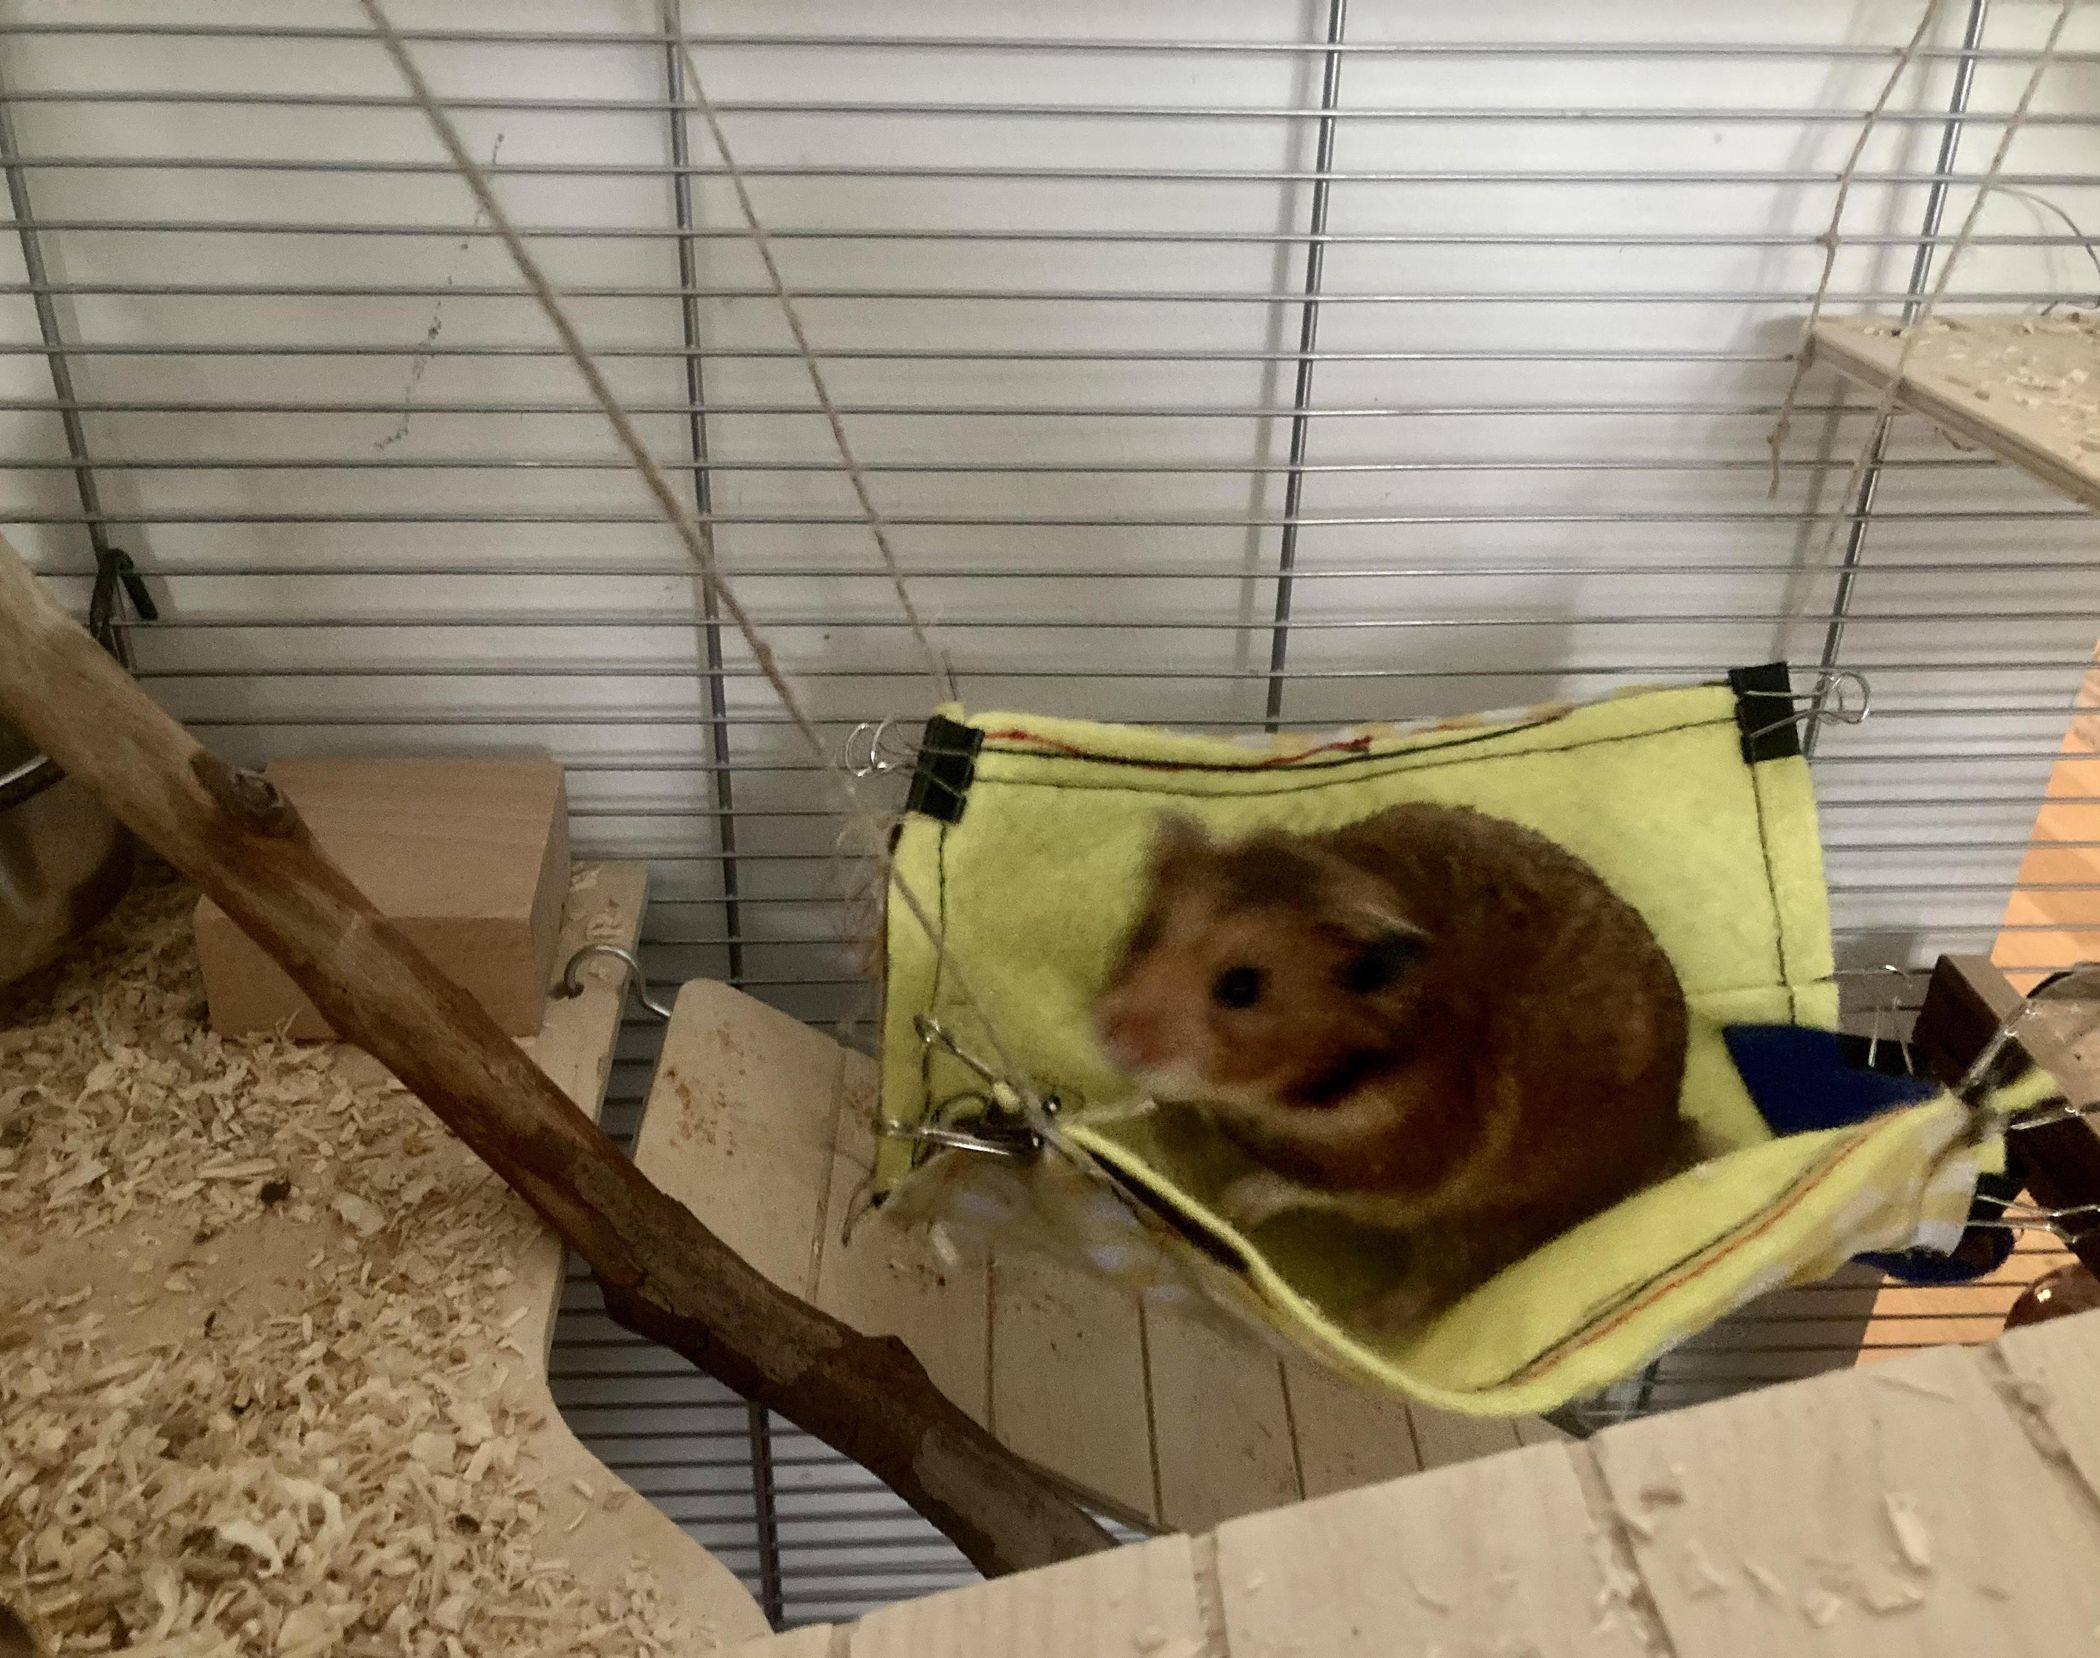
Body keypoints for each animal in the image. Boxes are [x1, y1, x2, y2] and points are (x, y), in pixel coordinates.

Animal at [1093, 804, 1691, 1326]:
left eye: (1241, 987)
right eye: (1147, 932)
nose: (1108, 1035)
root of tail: (1670, 1133)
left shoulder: (1398, 1165)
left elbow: (1298, 1183)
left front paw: (1232, 1204)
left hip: (1482, 1229)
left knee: (1433, 1284)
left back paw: (1367, 1321)